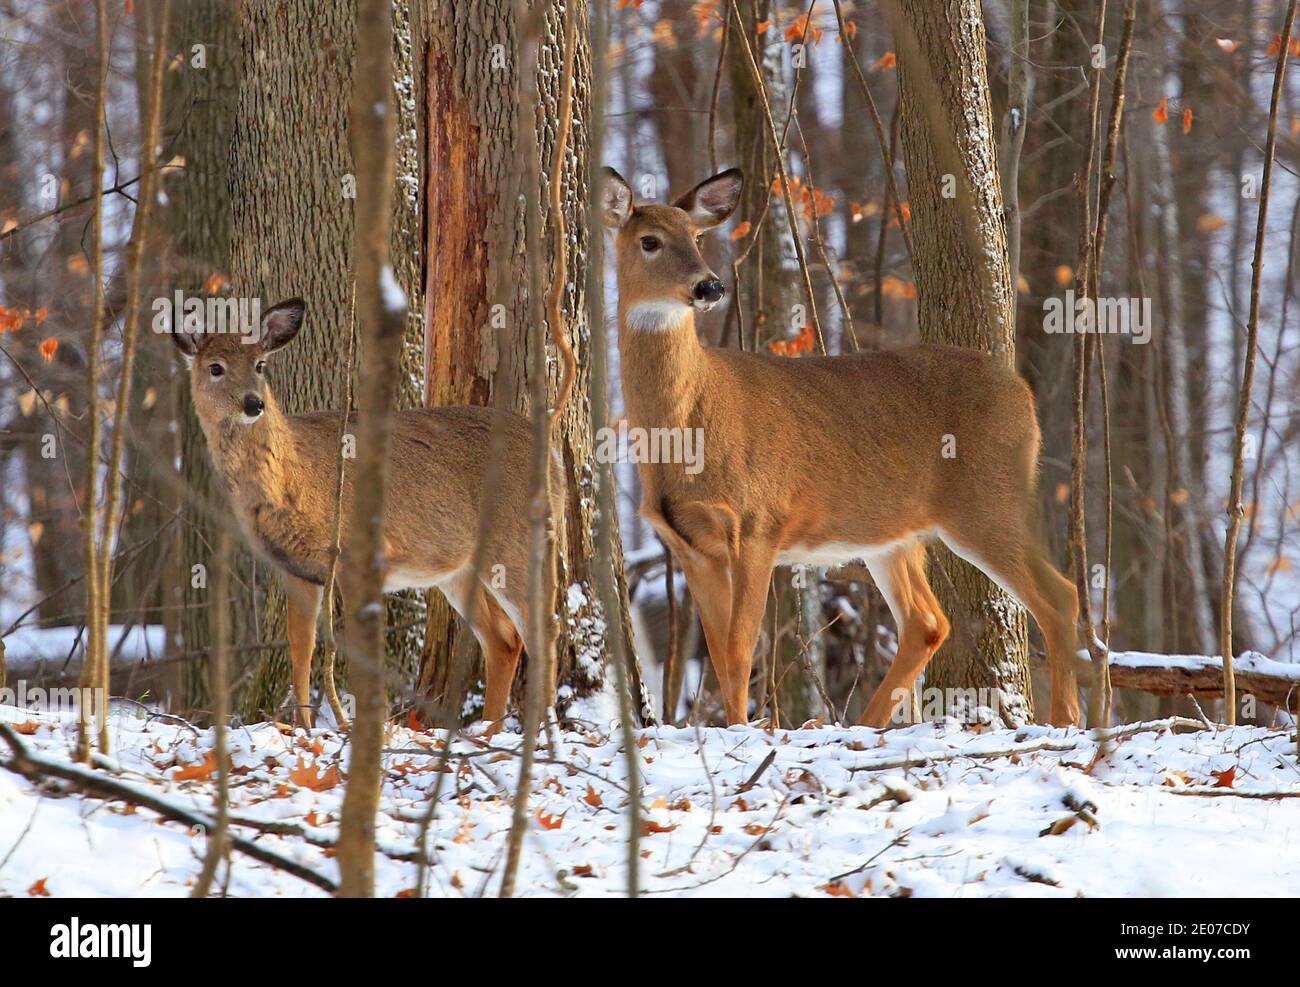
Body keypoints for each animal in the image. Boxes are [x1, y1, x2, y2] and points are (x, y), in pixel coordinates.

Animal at [172, 298, 561, 728]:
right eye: (215, 367)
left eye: (260, 364)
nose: (253, 403)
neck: (294, 479)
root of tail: (556, 458)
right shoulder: (297, 570)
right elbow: (300, 651)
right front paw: (305, 730)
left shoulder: (358, 556)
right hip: (458, 569)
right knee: (503, 639)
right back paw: (490, 732)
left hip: (517, 540)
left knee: (543, 628)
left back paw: (543, 728)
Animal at [601, 166, 1083, 730]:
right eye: (649, 241)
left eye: (698, 237)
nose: (710, 285)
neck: (685, 428)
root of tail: (1022, 391)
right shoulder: (688, 545)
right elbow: (721, 653)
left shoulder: (758, 521)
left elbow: (740, 650)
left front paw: (741, 731)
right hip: (894, 533)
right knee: (928, 621)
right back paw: (866, 724)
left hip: (987, 501)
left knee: (1059, 595)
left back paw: (1066, 719)